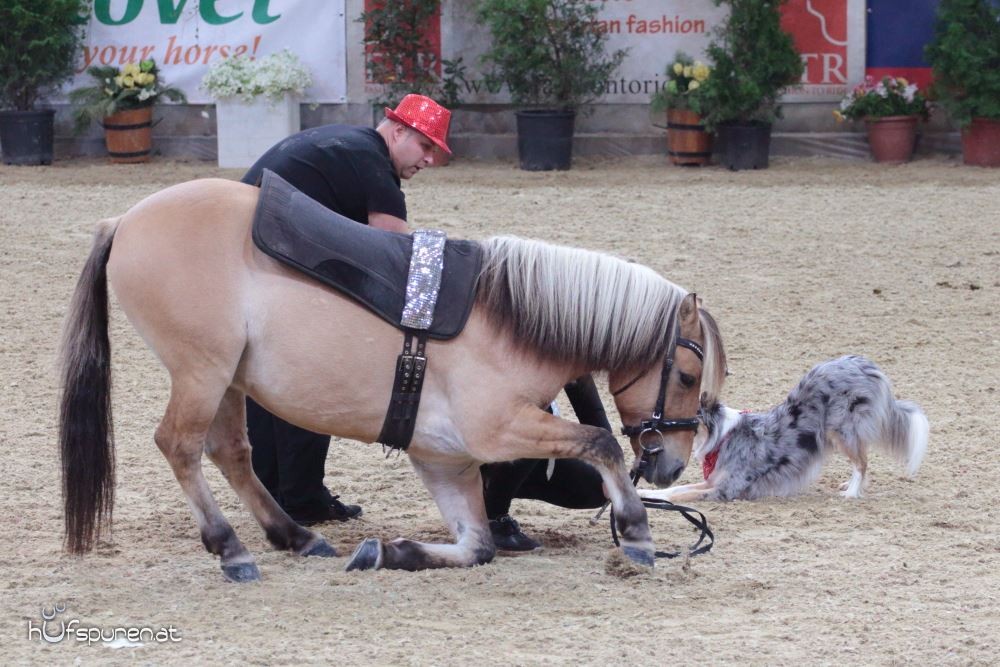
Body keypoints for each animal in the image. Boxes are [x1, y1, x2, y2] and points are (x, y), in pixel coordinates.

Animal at [58, 177, 727, 582]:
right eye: (687, 374)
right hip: (202, 371)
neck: (509, 319)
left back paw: (293, 534)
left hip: (226, 380)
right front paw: (637, 532)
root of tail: (127, 218)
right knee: (180, 446)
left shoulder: (444, 460)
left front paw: (391, 550)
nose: (672, 464)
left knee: (229, 452)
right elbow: (600, 443)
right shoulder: (497, 432)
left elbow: (477, 545)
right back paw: (232, 548)